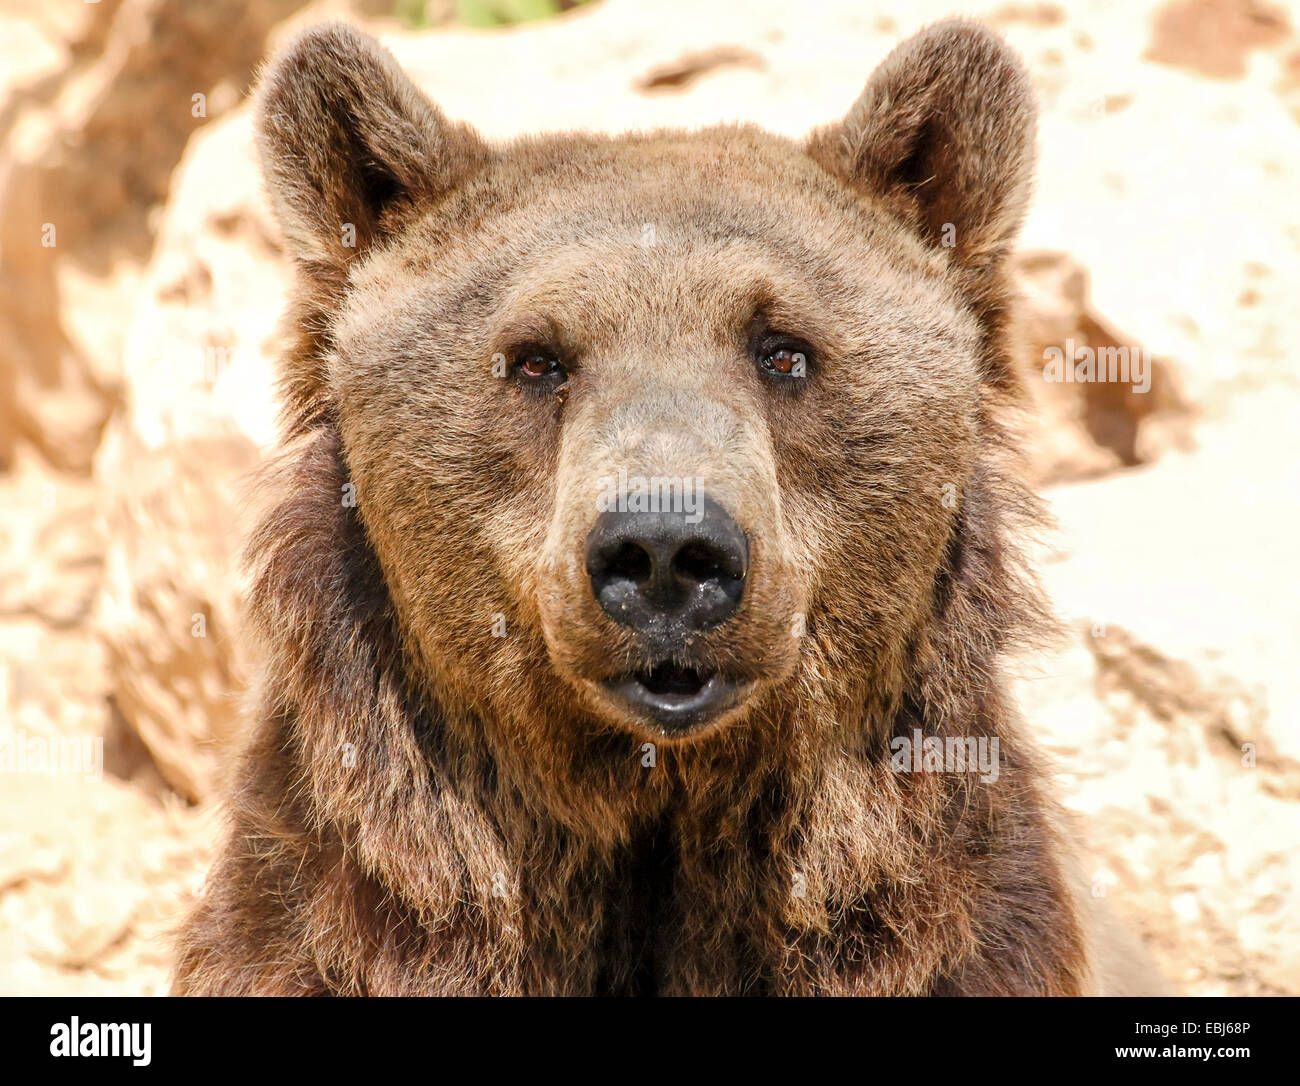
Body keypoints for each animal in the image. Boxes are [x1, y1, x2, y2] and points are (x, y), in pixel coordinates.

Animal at [173, 18, 1131, 996]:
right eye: (536, 359)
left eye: (784, 349)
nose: (667, 551)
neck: (657, 810)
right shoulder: (320, 920)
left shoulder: (961, 932)